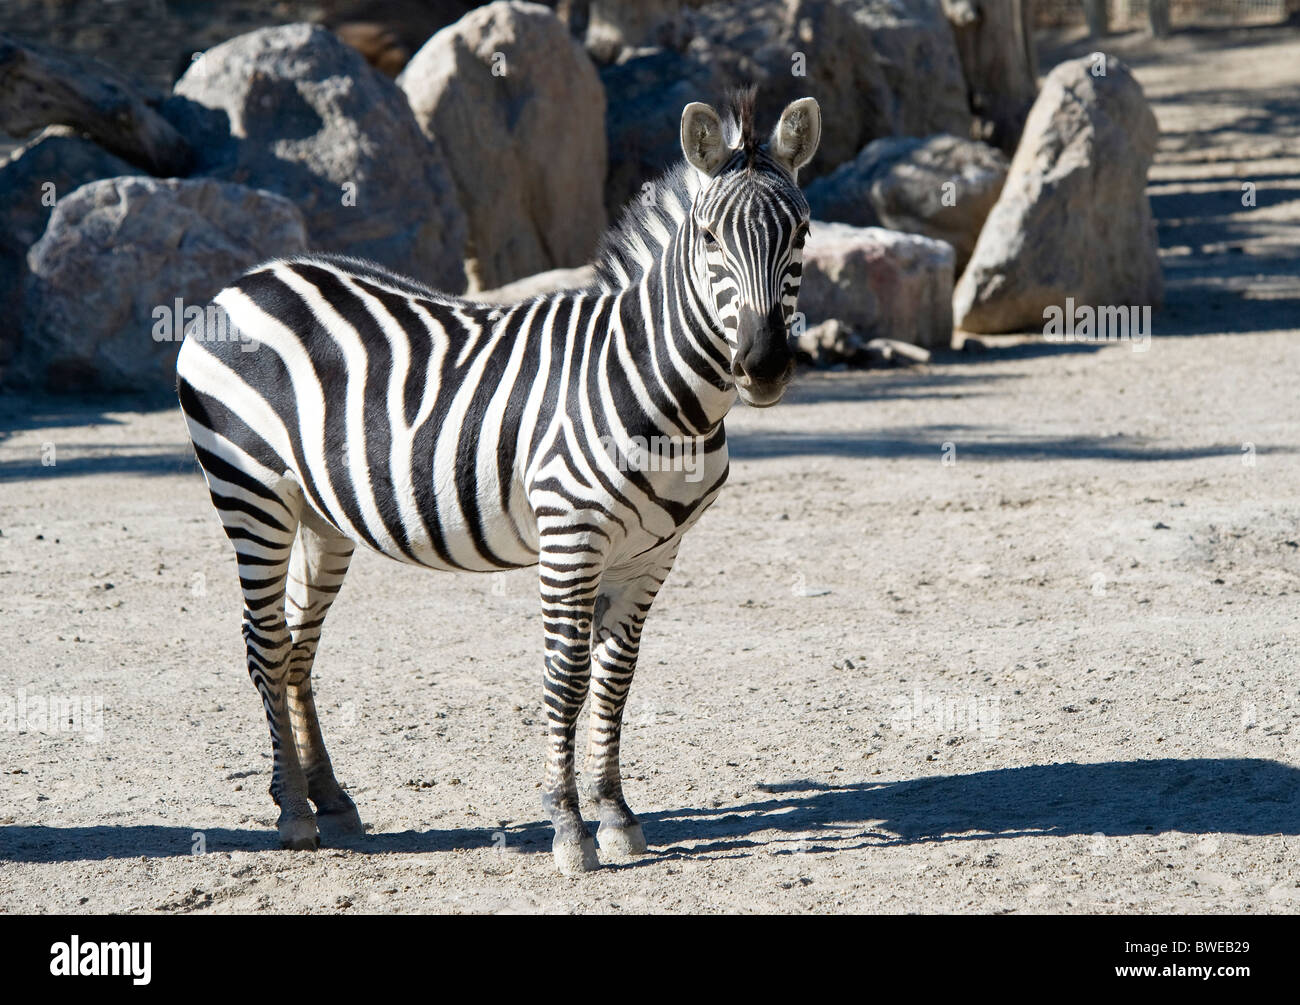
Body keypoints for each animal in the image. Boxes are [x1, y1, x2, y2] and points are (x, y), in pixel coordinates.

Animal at [175, 89, 821, 874]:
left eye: (802, 232)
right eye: (707, 238)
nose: (764, 364)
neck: (663, 394)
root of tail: (247, 280)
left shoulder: (653, 554)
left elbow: (616, 680)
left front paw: (615, 813)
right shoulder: (570, 535)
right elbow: (567, 676)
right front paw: (569, 827)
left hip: (322, 514)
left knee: (298, 643)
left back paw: (323, 796)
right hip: (251, 495)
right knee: (264, 639)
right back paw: (295, 813)